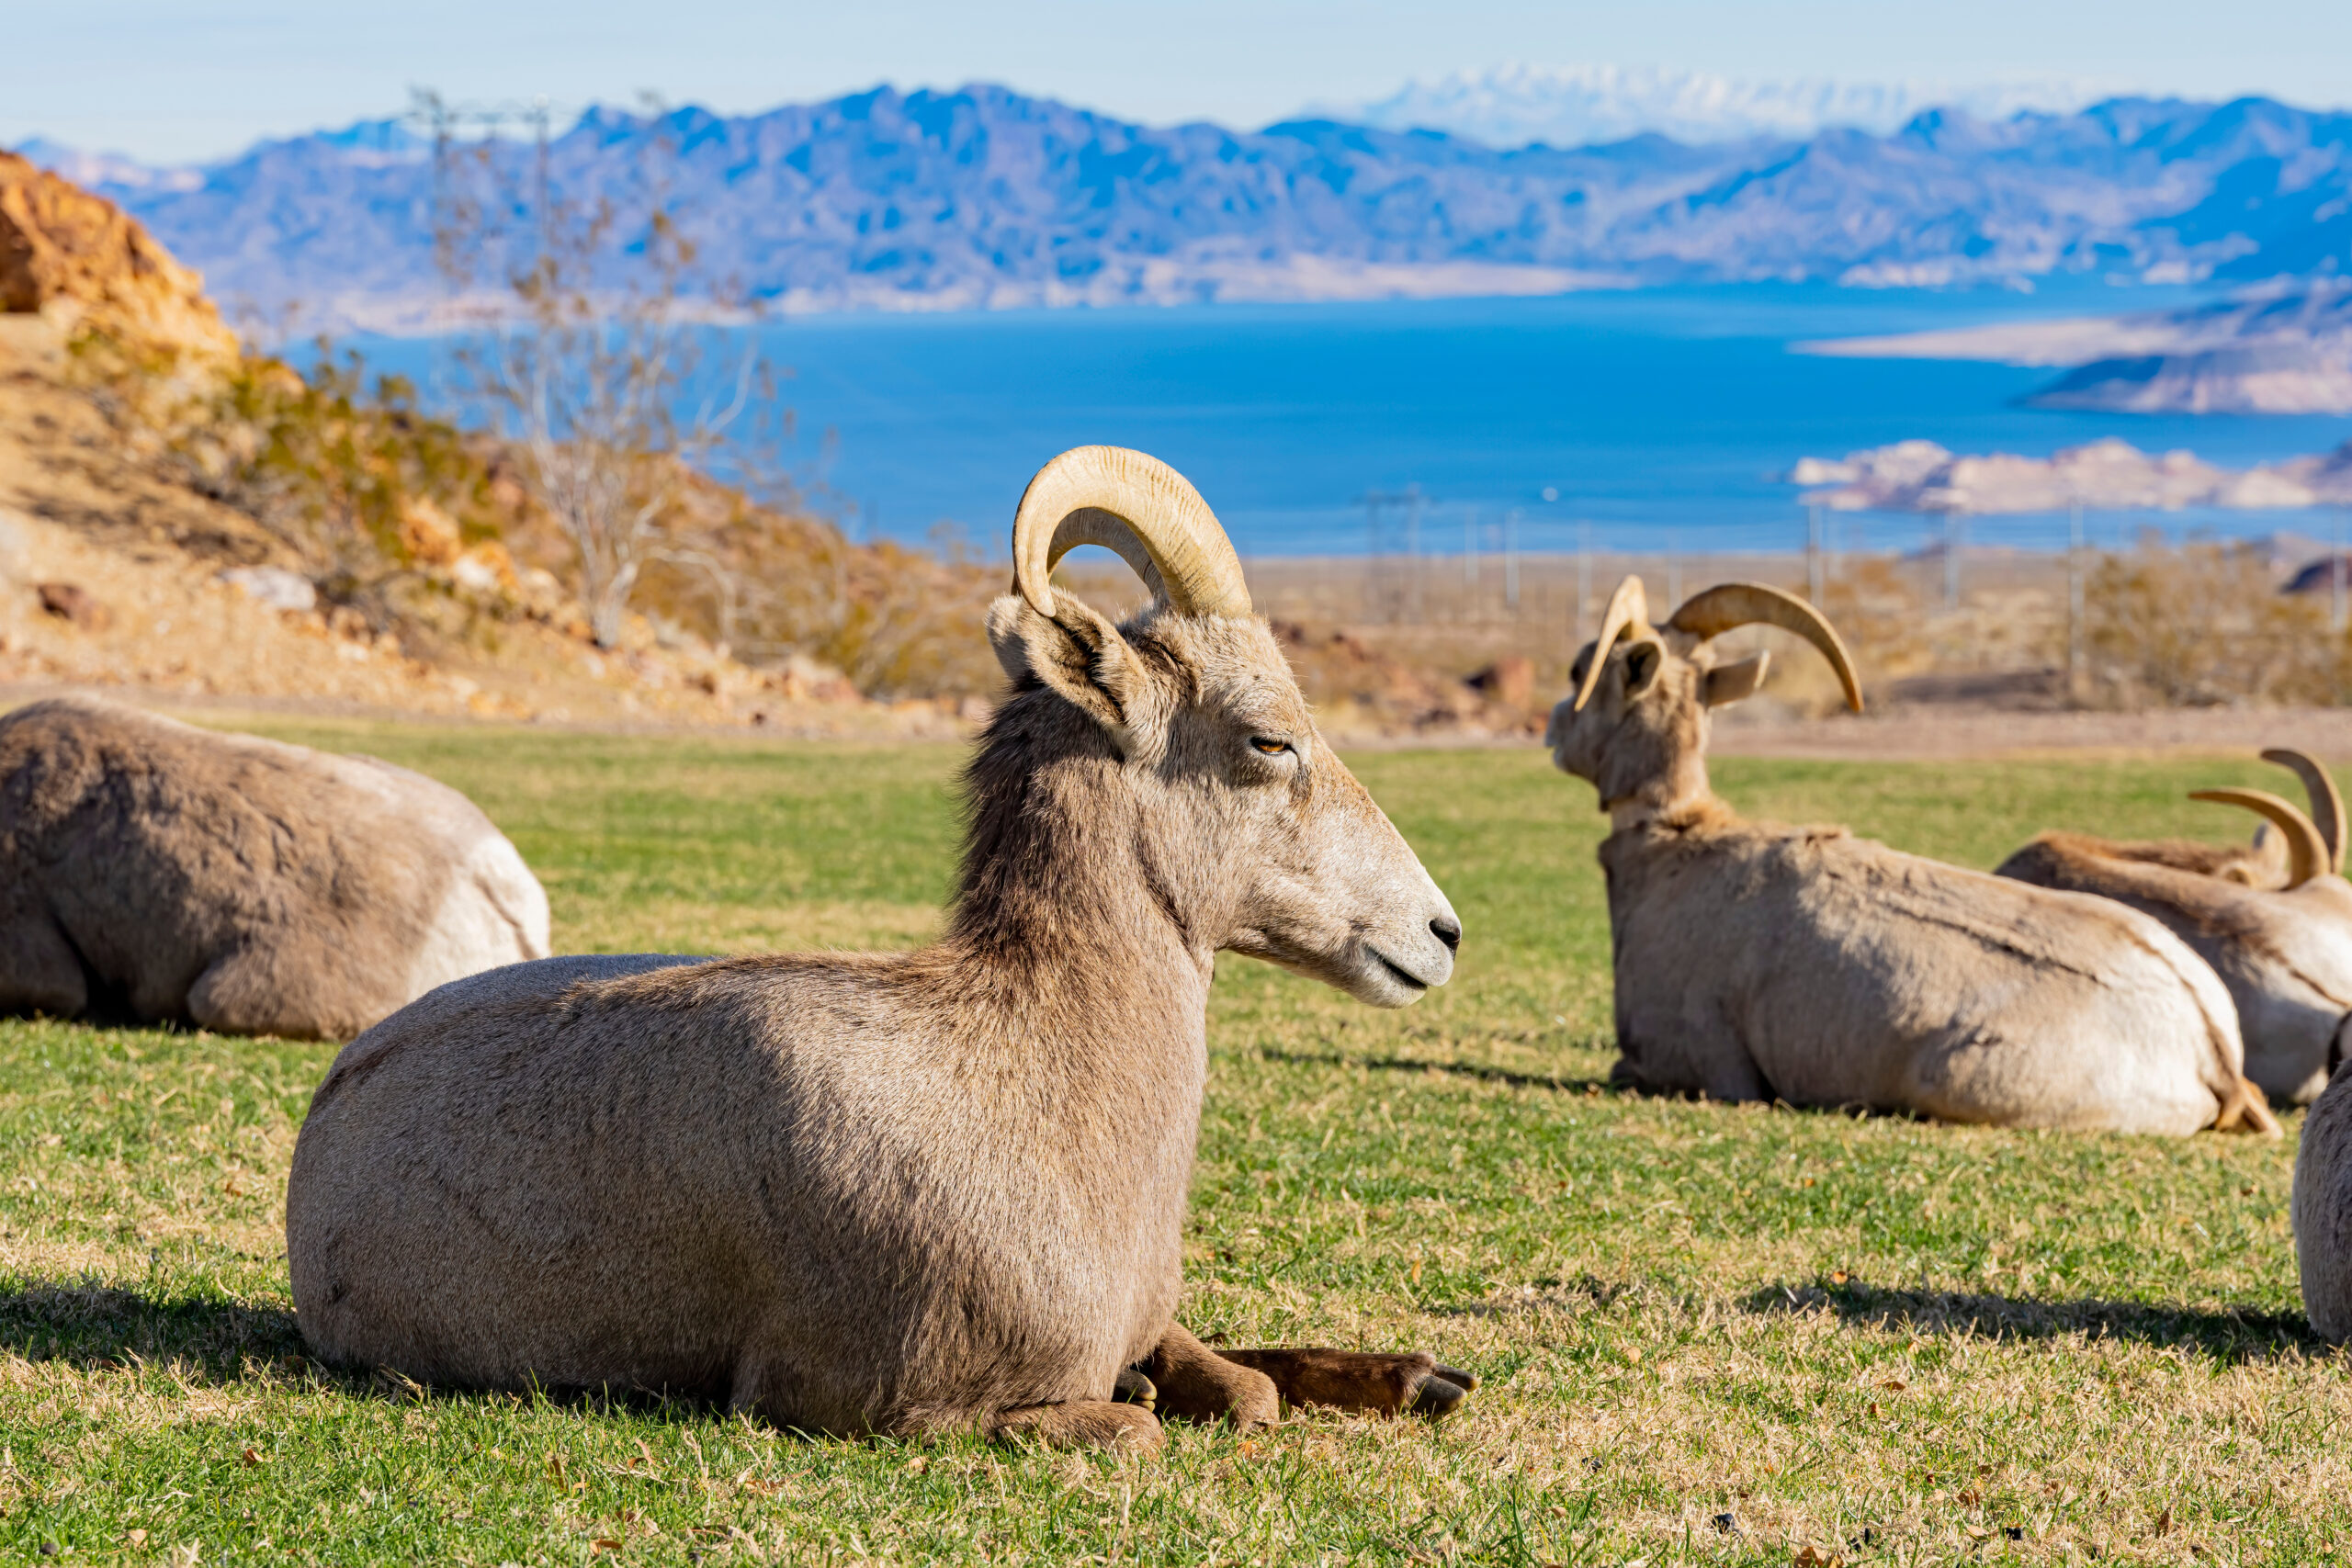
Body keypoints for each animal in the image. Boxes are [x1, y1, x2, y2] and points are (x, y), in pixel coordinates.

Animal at [286, 446, 1475, 1451]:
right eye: (1268, 740)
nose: (1439, 934)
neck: (1033, 1080)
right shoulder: (882, 1402)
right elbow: (1146, 1423)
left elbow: (1241, 1389)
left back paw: (1429, 1379)